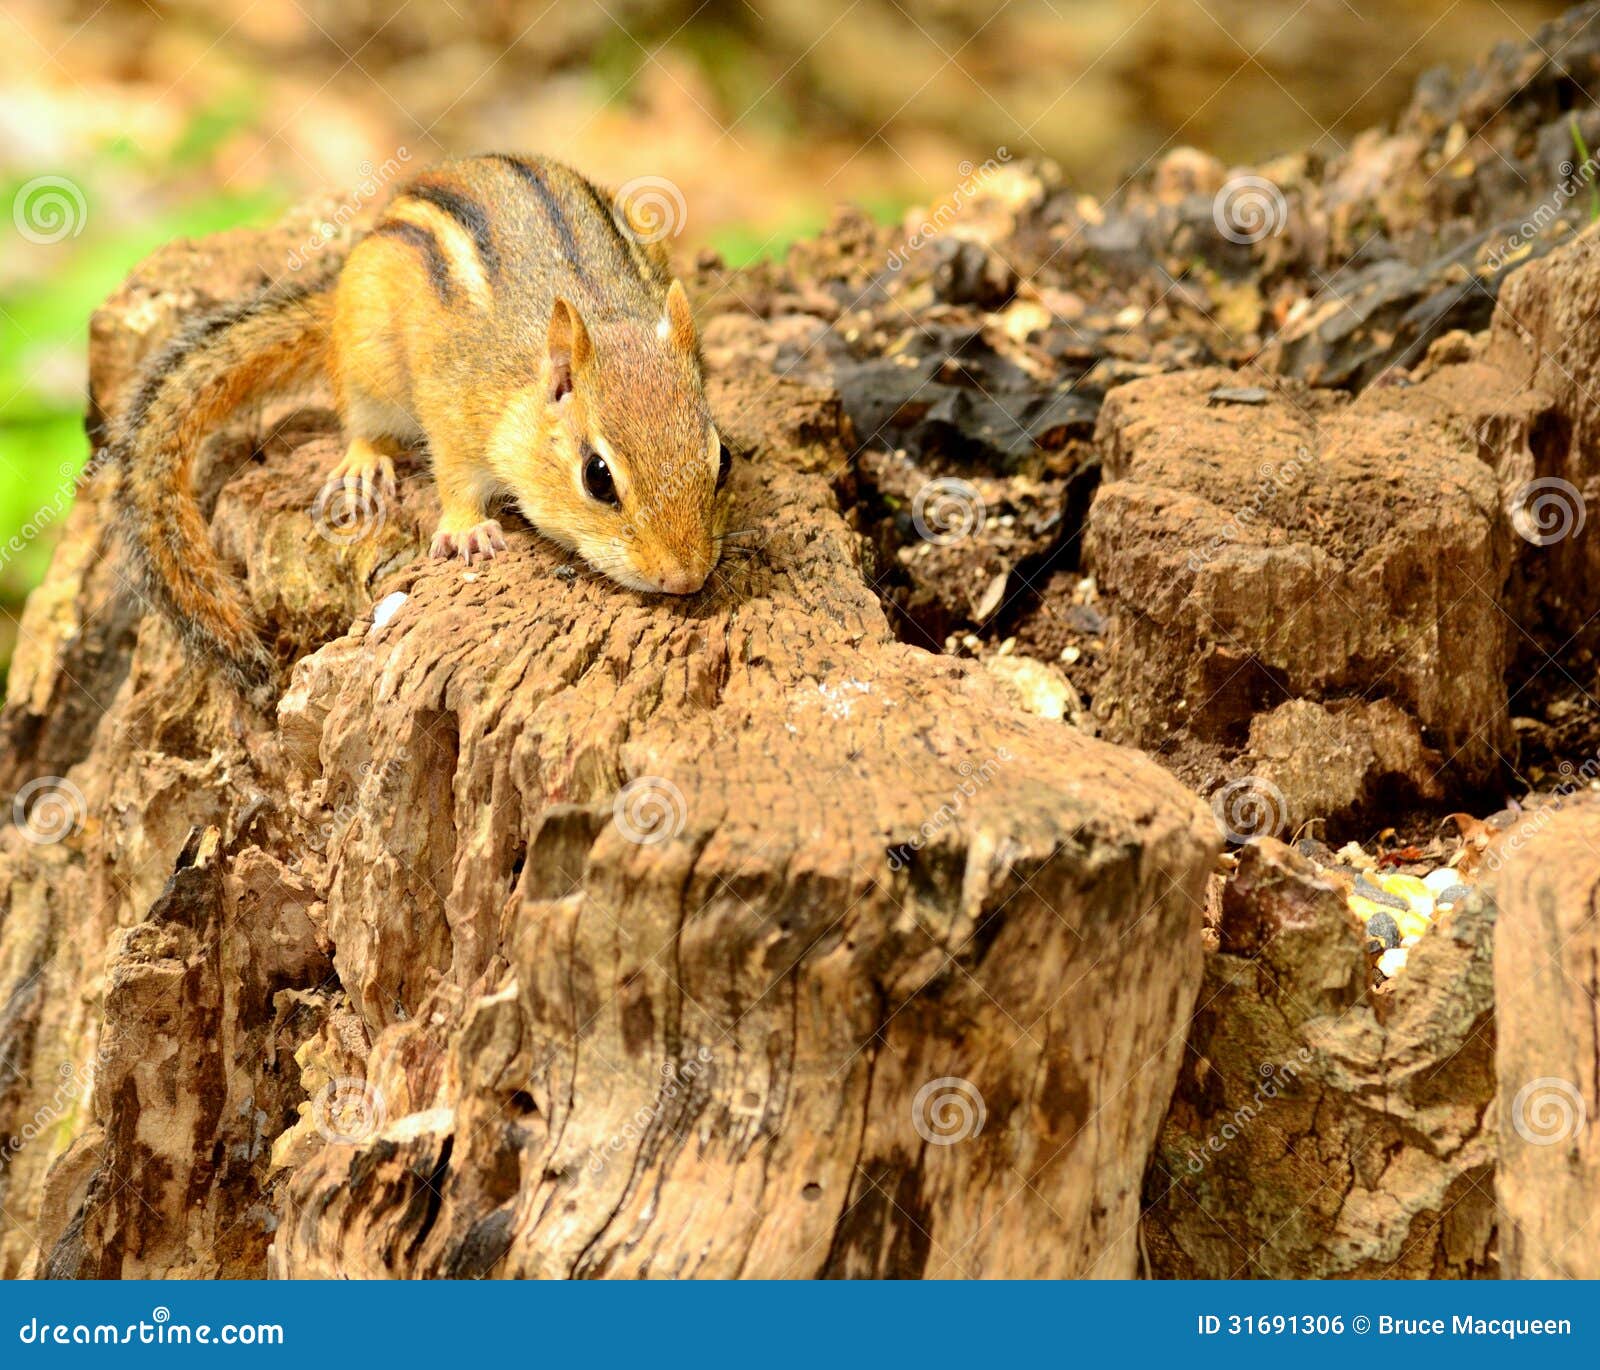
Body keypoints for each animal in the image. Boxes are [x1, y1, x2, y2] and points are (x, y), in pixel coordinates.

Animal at [112, 153, 730, 694]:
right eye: (598, 477)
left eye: (722, 460)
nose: (685, 579)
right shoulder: (450, 406)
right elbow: (453, 475)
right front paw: (467, 529)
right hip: (369, 362)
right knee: (360, 421)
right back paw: (365, 463)